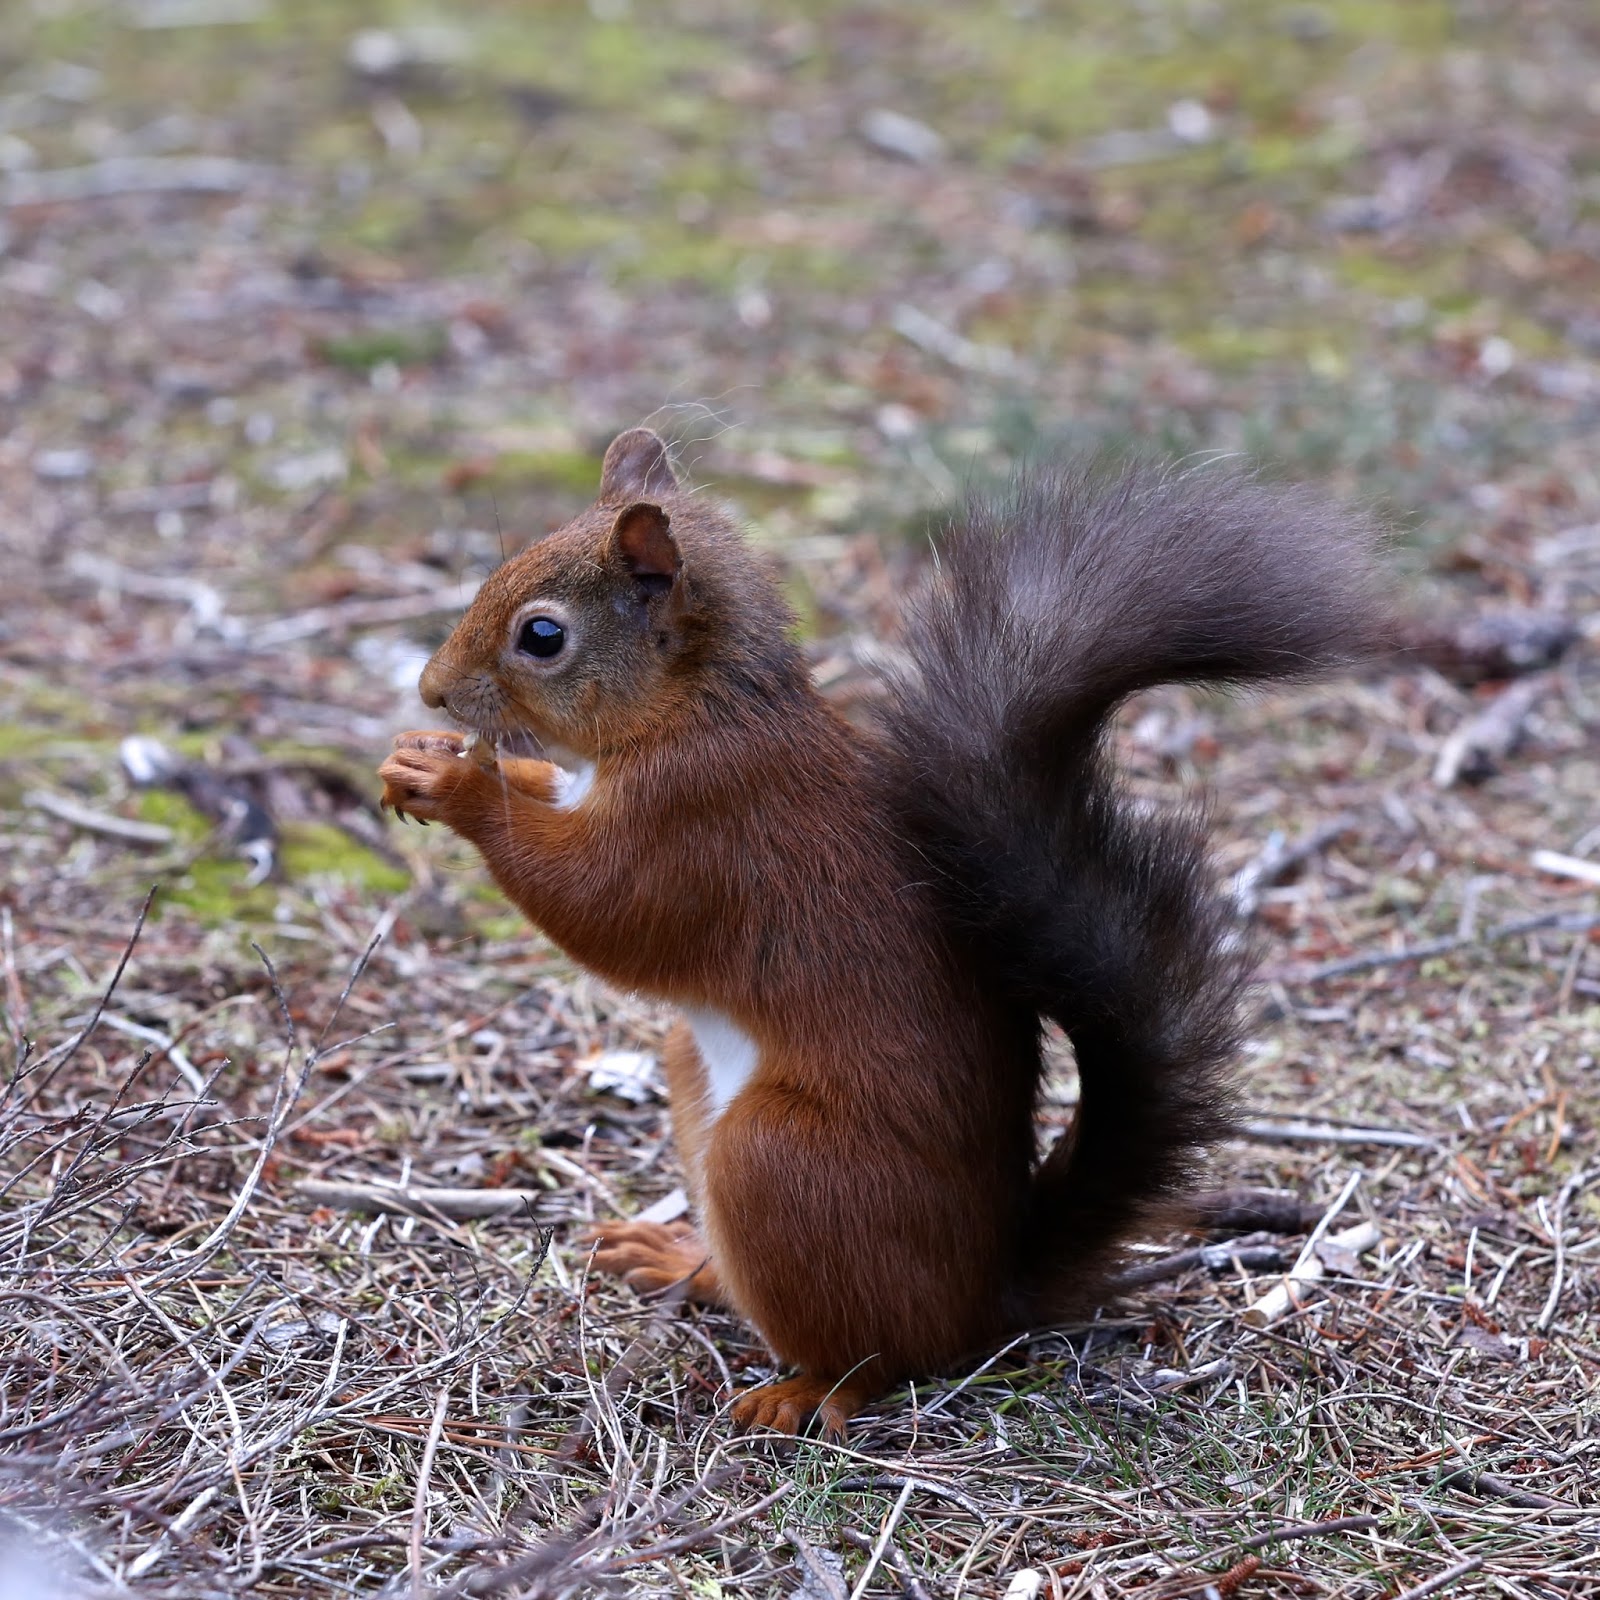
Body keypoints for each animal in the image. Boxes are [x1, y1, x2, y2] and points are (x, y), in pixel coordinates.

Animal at [378, 428, 1388, 1437]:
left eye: (542, 636)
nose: (430, 693)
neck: (698, 706)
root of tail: (987, 1300)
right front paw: (420, 761)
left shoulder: (700, 821)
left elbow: (600, 904)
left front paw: (459, 787)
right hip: (694, 1079)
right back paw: (680, 1263)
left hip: (781, 1163)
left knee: (879, 1356)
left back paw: (805, 1392)